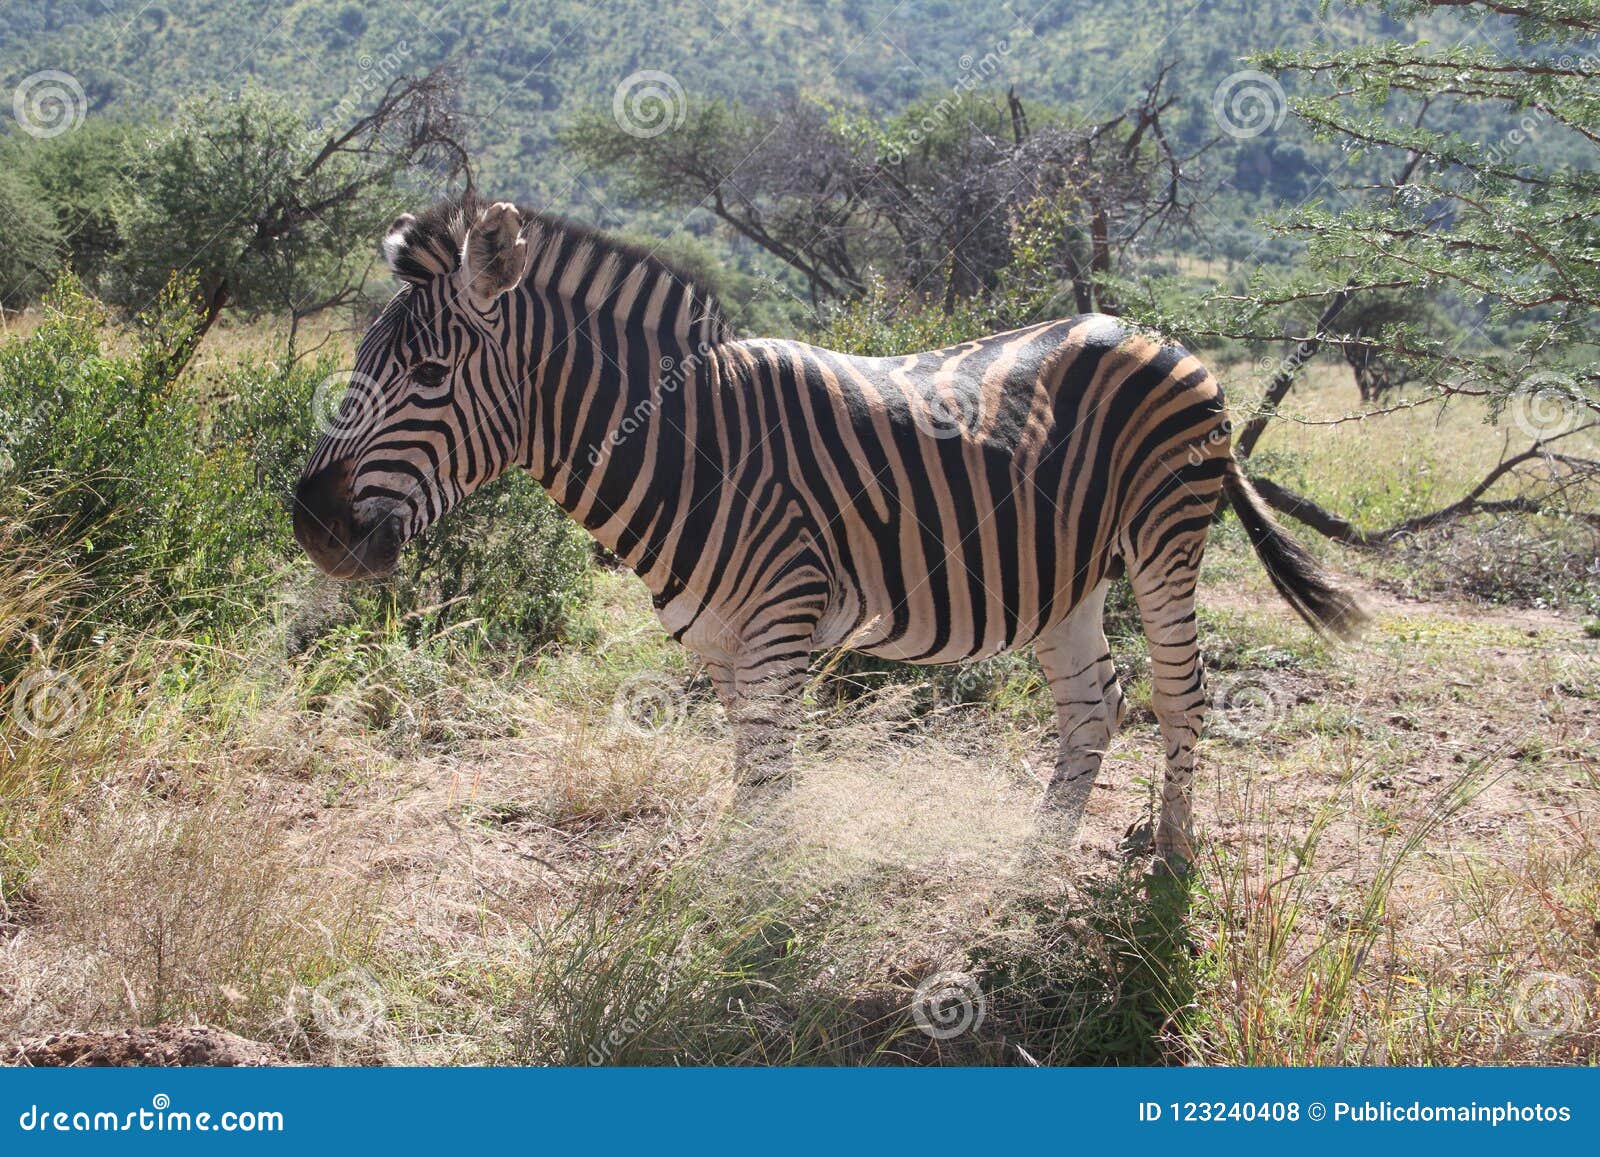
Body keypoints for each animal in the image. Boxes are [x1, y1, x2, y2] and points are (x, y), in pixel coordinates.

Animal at [294, 195, 1366, 868]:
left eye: (429, 375)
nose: (310, 521)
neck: (693, 446)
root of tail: (1155, 333)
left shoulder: (781, 623)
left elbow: (766, 778)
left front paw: (739, 924)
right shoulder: (723, 641)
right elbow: (754, 773)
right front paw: (739, 895)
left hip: (1165, 540)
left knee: (1182, 693)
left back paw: (1172, 859)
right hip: (1069, 571)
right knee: (1093, 700)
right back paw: (1033, 861)